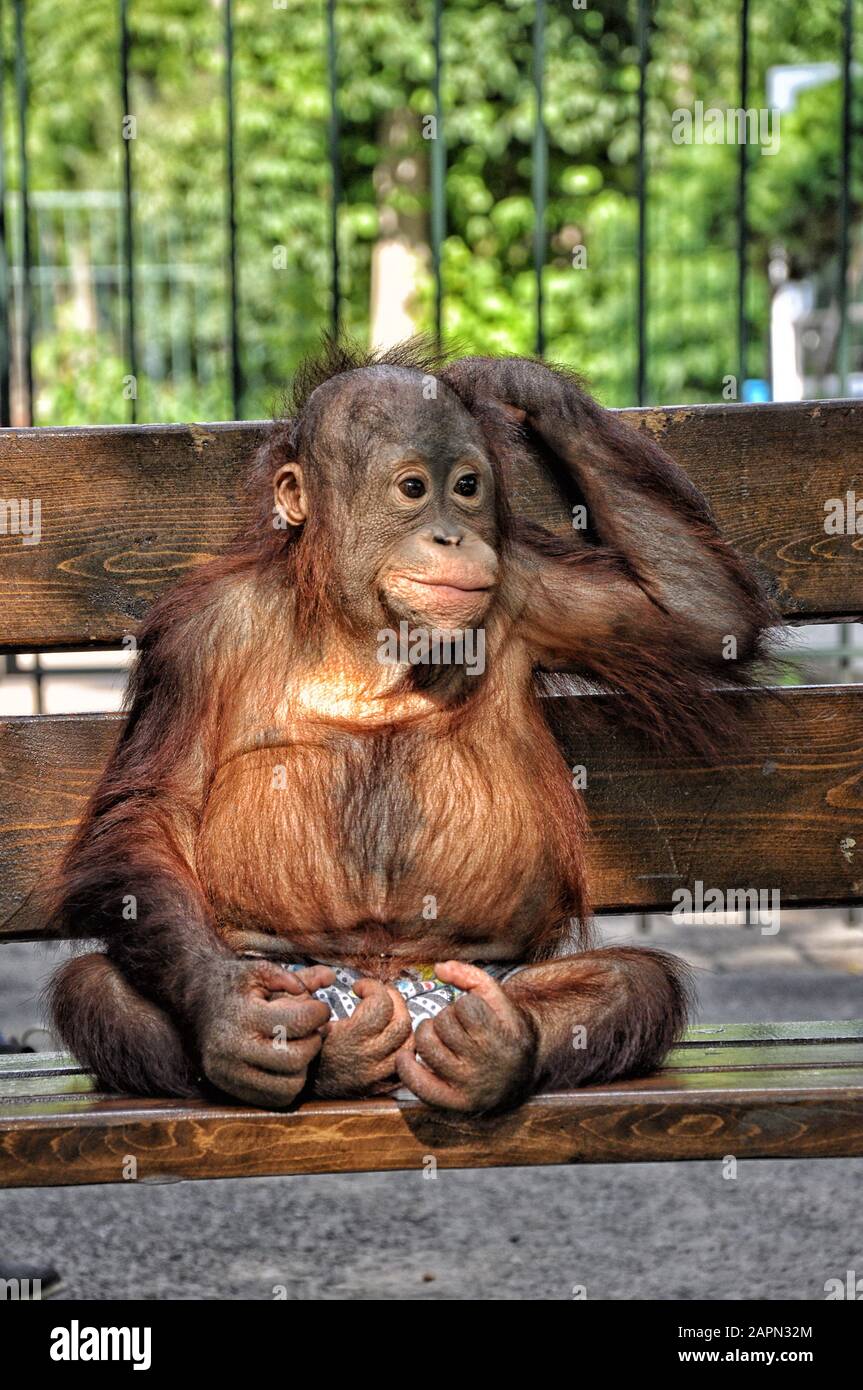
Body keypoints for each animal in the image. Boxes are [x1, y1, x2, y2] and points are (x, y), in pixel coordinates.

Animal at [48, 341, 774, 1113]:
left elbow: (698, 616)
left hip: (465, 982)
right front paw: (234, 1018)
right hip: (304, 978)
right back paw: (330, 1058)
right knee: (96, 989)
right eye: (411, 488)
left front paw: (504, 377)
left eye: (466, 486)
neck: (366, 631)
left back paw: (487, 1048)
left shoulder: (533, 590)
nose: (451, 534)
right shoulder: (195, 637)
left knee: (633, 983)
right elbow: (149, 811)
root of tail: (390, 988)